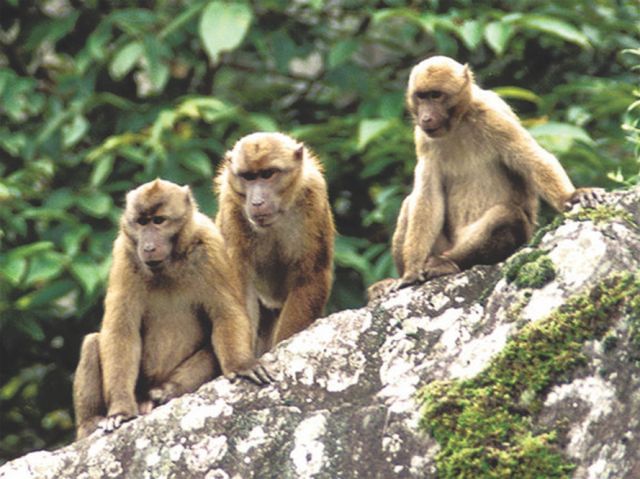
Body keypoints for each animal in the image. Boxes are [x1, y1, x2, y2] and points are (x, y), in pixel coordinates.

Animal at [73, 179, 271, 440]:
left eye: (159, 221)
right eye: (142, 222)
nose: (148, 246)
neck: (169, 264)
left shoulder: (210, 246)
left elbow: (227, 315)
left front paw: (241, 366)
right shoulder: (125, 254)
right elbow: (120, 331)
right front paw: (121, 412)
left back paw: (164, 393)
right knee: (92, 342)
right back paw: (90, 423)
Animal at [215, 132, 335, 356]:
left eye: (268, 174)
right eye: (249, 177)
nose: (257, 202)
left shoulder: (314, 196)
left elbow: (310, 277)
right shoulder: (231, 207)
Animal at [368, 56, 604, 300]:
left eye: (436, 96)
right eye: (421, 97)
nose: (426, 117)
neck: (460, 121)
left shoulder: (493, 116)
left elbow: (530, 158)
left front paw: (572, 195)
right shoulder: (423, 137)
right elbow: (428, 195)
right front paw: (411, 273)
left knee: (505, 214)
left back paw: (447, 263)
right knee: (410, 204)